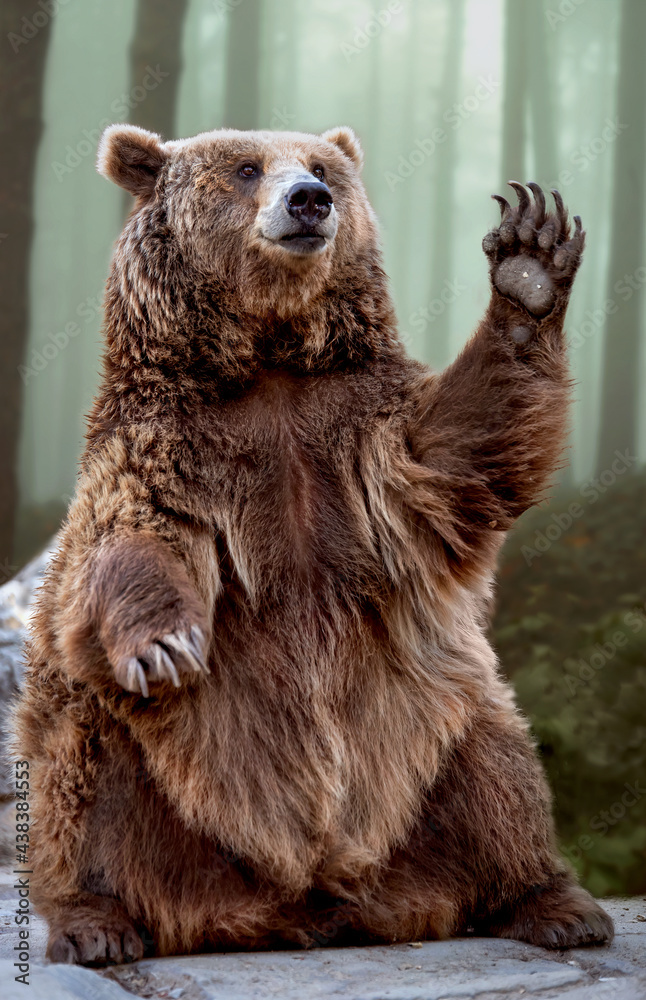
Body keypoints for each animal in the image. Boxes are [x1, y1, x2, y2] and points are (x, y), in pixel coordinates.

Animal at [10, 122, 613, 965]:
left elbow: (464, 446)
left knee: (500, 772)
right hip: (134, 751)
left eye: (323, 166)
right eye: (245, 166)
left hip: (433, 730)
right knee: (82, 781)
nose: (309, 199)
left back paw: (554, 903)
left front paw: (529, 260)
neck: (268, 362)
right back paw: (96, 922)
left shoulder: (362, 434)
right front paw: (162, 645)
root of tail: (304, 900)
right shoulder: (163, 450)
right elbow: (131, 546)